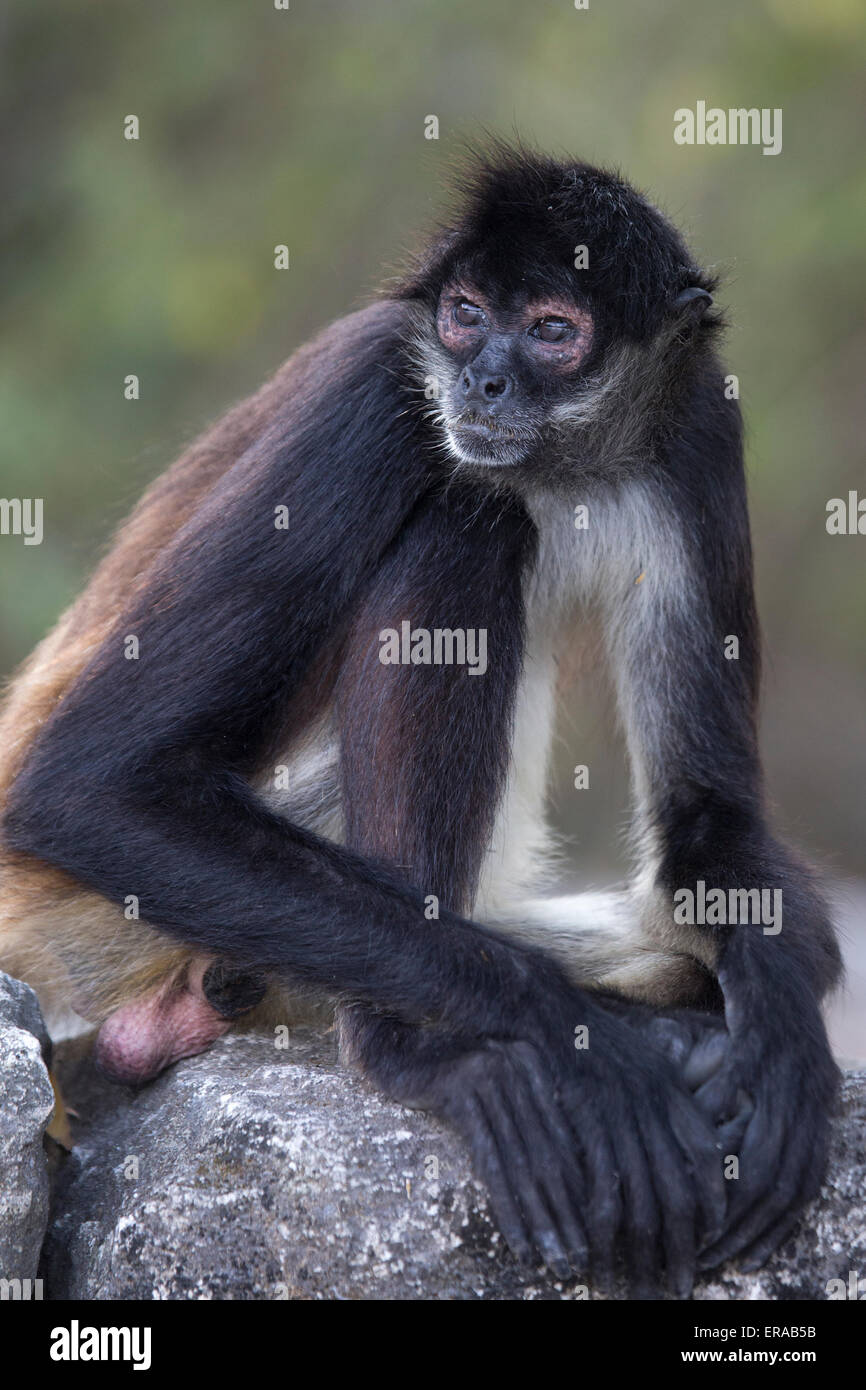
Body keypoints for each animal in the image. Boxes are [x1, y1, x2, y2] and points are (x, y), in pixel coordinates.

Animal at [0, 143, 841, 1296]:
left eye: (551, 329)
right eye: (464, 315)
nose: (482, 379)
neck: (559, 465)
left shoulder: (699, 419)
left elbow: (709, 818)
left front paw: (783, 1040)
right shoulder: (381, 391)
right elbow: (89, 786)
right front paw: (575, 1035)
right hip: (98, 919)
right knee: (467, 517)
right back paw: (424, 1051)